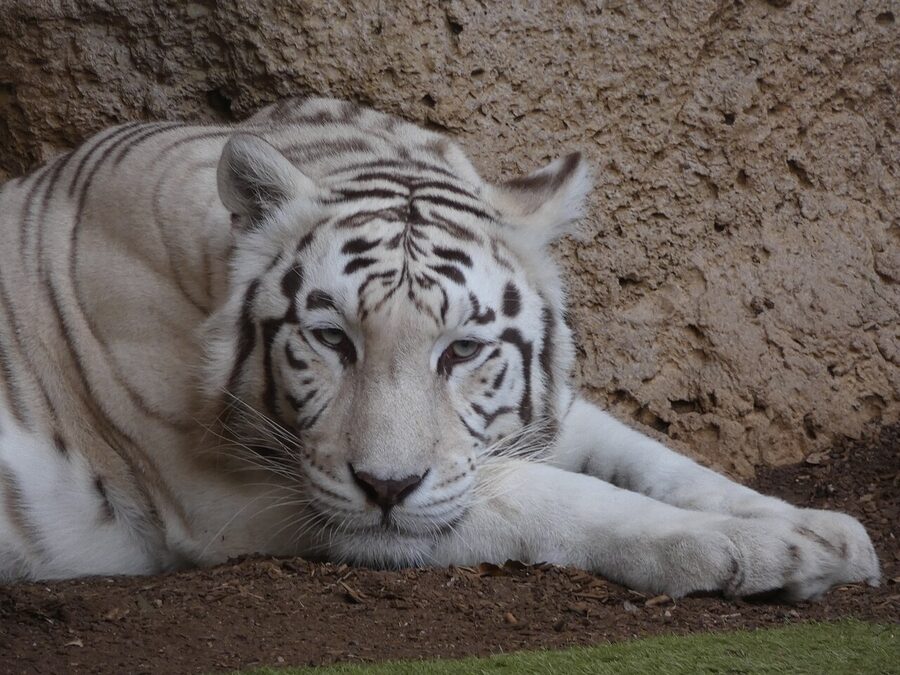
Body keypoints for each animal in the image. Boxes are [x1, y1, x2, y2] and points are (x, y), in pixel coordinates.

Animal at [0, 97, 880, 600]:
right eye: (331, 339)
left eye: (460, 351)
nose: (386, 486)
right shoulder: (236, 498)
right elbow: (552, 497)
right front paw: (749, 549)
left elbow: (654, 456)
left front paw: (821, 530)